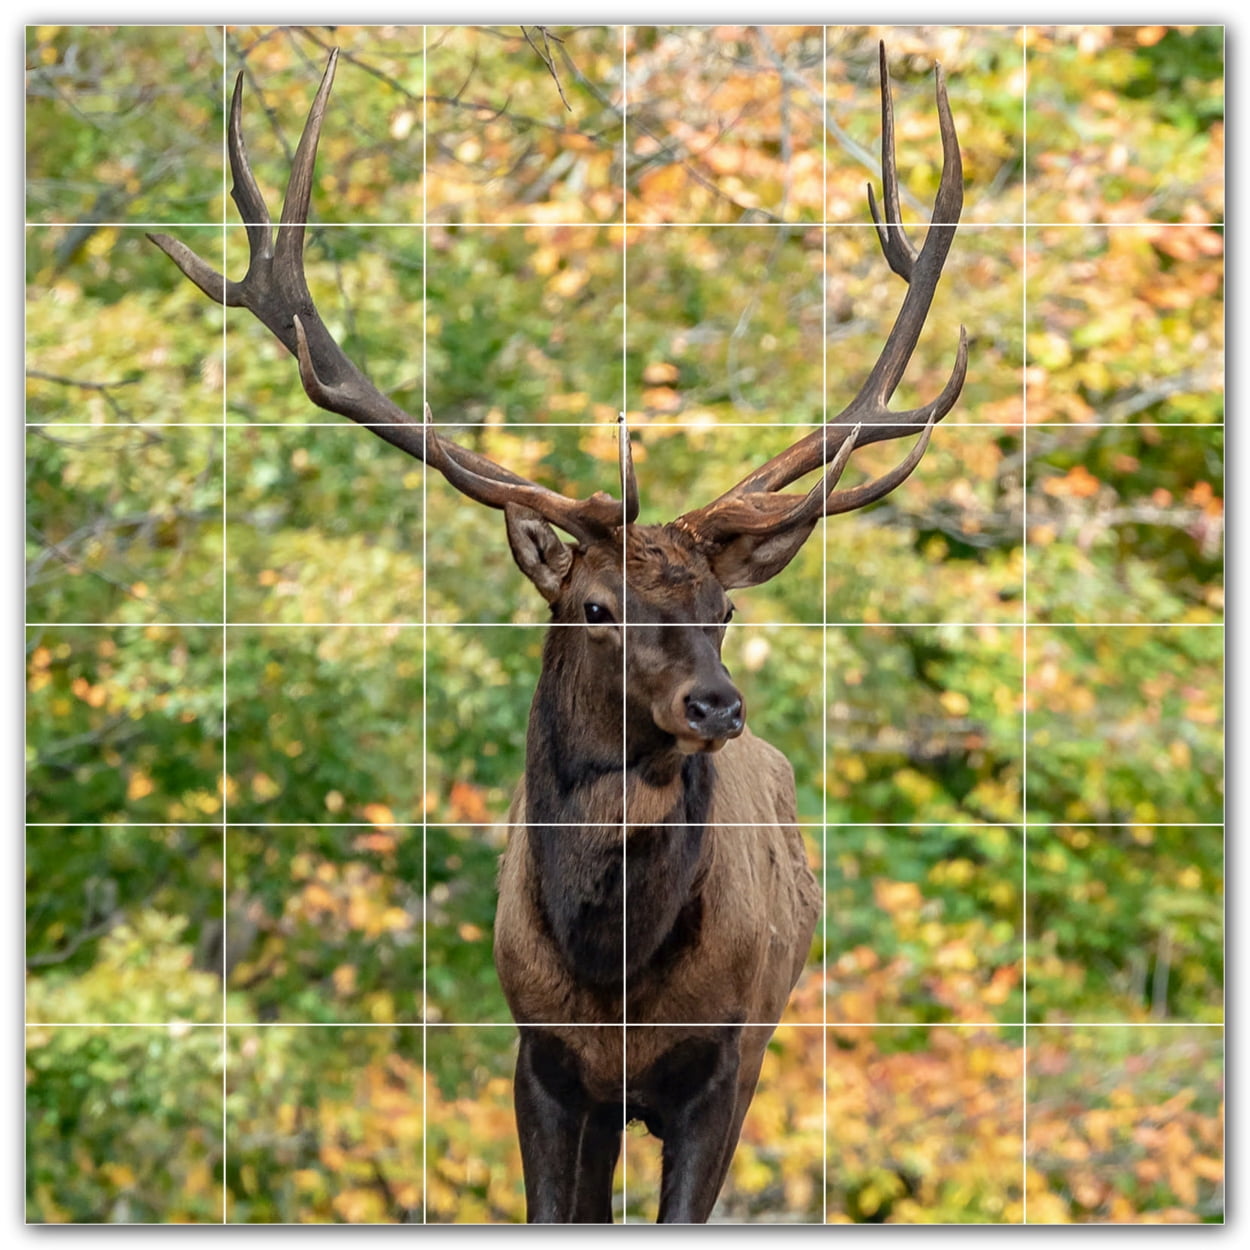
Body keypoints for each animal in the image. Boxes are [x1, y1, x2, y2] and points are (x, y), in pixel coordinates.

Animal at [150, 41, 964, 1224]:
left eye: (722, 608)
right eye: (595, 605)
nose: (715, 703)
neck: (610, 967)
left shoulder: (722, 1065)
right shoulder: (539, 1061)